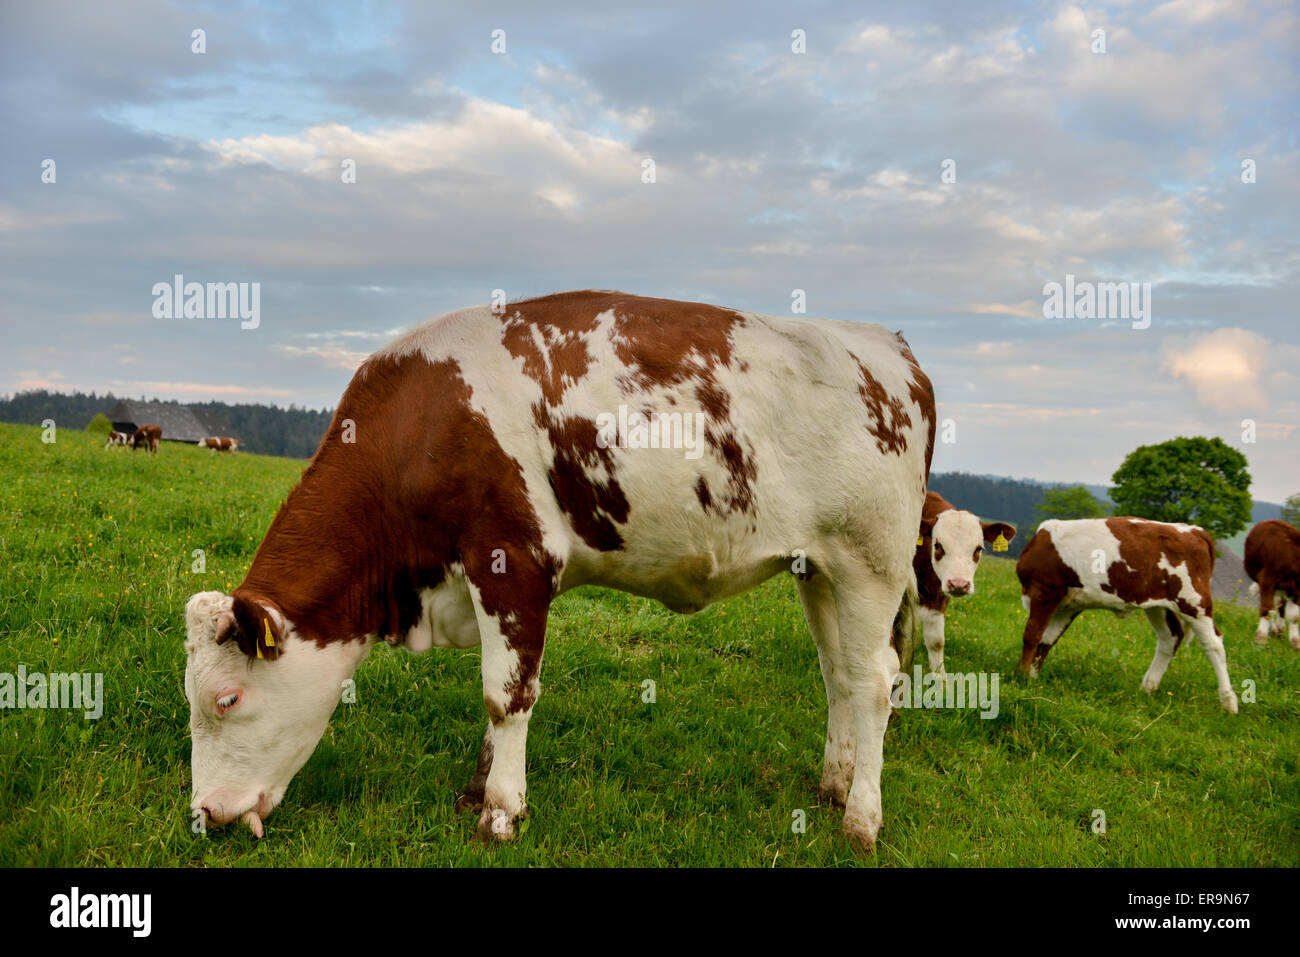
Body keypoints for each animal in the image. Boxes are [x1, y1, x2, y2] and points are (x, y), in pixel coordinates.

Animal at [182, 289, 935, 852]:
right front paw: (477, 791)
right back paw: (834, 784)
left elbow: (505, 693)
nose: (206, 813)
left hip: (872, 560)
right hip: (820, 568)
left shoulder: (512, 559)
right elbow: (494, 694)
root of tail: (888, 345)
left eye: (227, 698)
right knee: (839, 675)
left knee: (874, 683)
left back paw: (861, 820)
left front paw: (501, 813)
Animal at [913, 491, 1016, 673]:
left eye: (979, 548)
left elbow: (936, 641)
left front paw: (940, 678)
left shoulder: (938, 600)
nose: (959, 584)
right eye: (938, 546)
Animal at [1015, 517, 1237, 712]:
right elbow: (1046, 641)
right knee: (1171, 638)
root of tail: (1194, 530)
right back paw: (1147, 688)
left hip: (1193, 601)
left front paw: (1021, 678)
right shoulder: (1067, 606)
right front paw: (1032, 678)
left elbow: (1032, 636)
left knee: (1214, 644)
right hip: (1157, 604)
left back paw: (1228, 702)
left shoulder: (1045, 591)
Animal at [1243, 519, 1300, 649]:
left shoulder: (1297, 588)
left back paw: (1280, 630)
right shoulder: (1267, 579)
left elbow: (1294, 616)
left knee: (1280, 606)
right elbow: (1267, 609)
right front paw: (1261, 638)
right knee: (1273, 606)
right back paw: (1273, 630)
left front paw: (1295, 642)